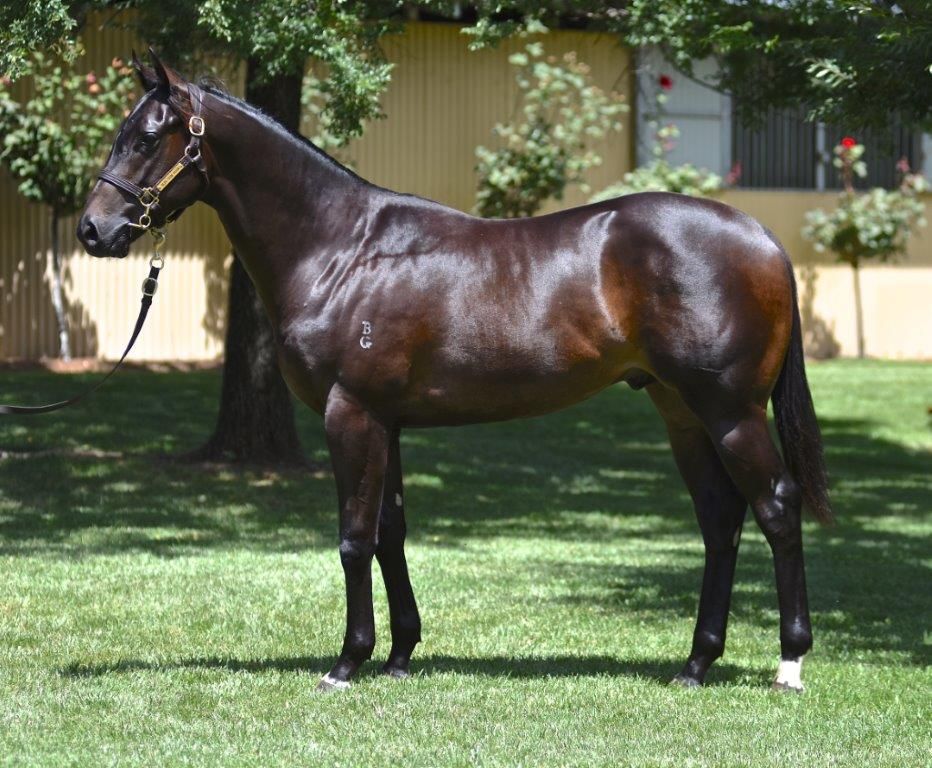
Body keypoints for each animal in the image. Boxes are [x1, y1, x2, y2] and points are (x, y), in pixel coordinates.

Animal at [77, 51, 831, 693]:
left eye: (145, 138)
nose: (93, 230)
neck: (340, 249)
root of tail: (764, 239)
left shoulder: (350, 413)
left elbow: (353, 537)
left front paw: (347, 662)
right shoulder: (386, 421)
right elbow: (390, 532)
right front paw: (399, 653)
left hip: (730, 412)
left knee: (776, 507)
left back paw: (790, 663)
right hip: (681, 412)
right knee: (720, 519)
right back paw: (696, 664)